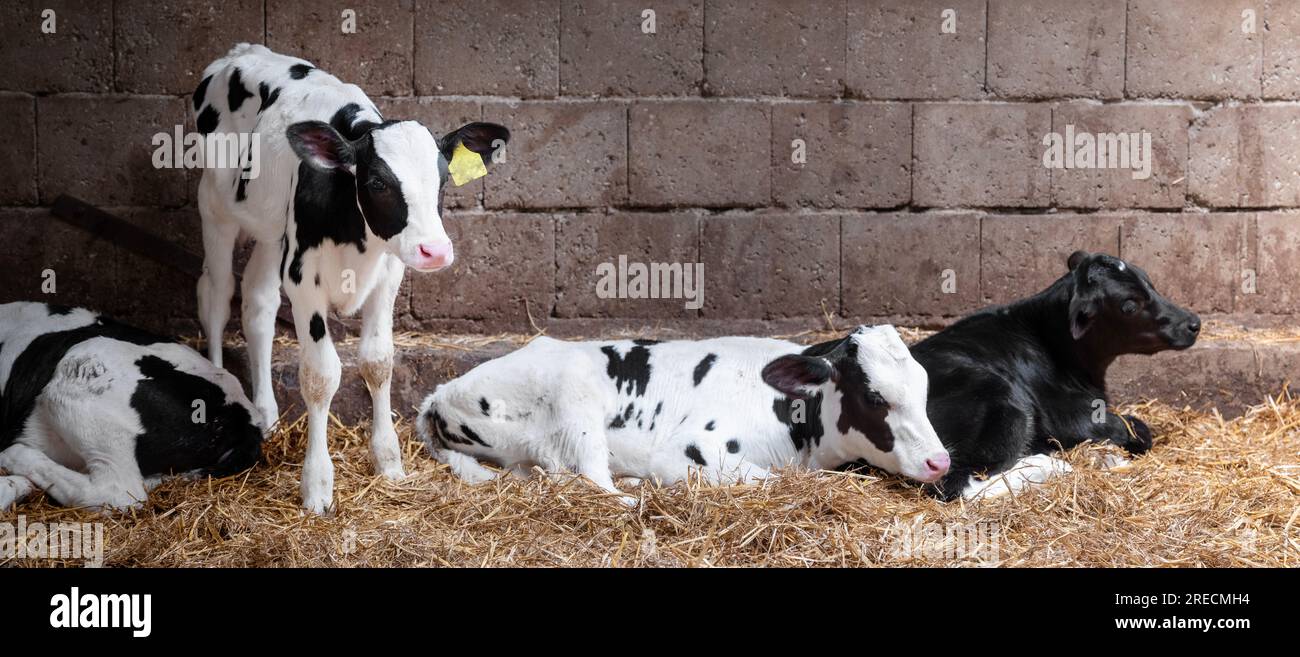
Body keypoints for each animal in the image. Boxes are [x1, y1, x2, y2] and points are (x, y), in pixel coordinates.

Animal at [191, 44, 510, 513]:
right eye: (376, 181)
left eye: (443, 180)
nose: (435, 251)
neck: (353, 233)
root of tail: (242, 51)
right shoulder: (302, 278)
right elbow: (321, 375)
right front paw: (317, 485)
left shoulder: (388, 274)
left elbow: (378, 362)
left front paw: (389, 462)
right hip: (215, 205)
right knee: (216, 295)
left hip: (271, 232)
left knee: (258, 303)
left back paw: (266, 415)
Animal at [414, 326, 951, 504]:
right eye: (877, 398)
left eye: (924, 390)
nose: (939, 461)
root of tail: (439, 392)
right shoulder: (692, 447)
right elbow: (770, 481)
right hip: (577, 398)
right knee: (589, 480)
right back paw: (637, 491)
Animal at [907, 251, 1200, 501]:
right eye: (1129, 305)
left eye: (1149, 282)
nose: (1193, 323)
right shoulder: (1074, 419)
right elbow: (1136, 428)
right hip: (1000, 400)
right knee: (958, 484)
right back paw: (1050, 466)